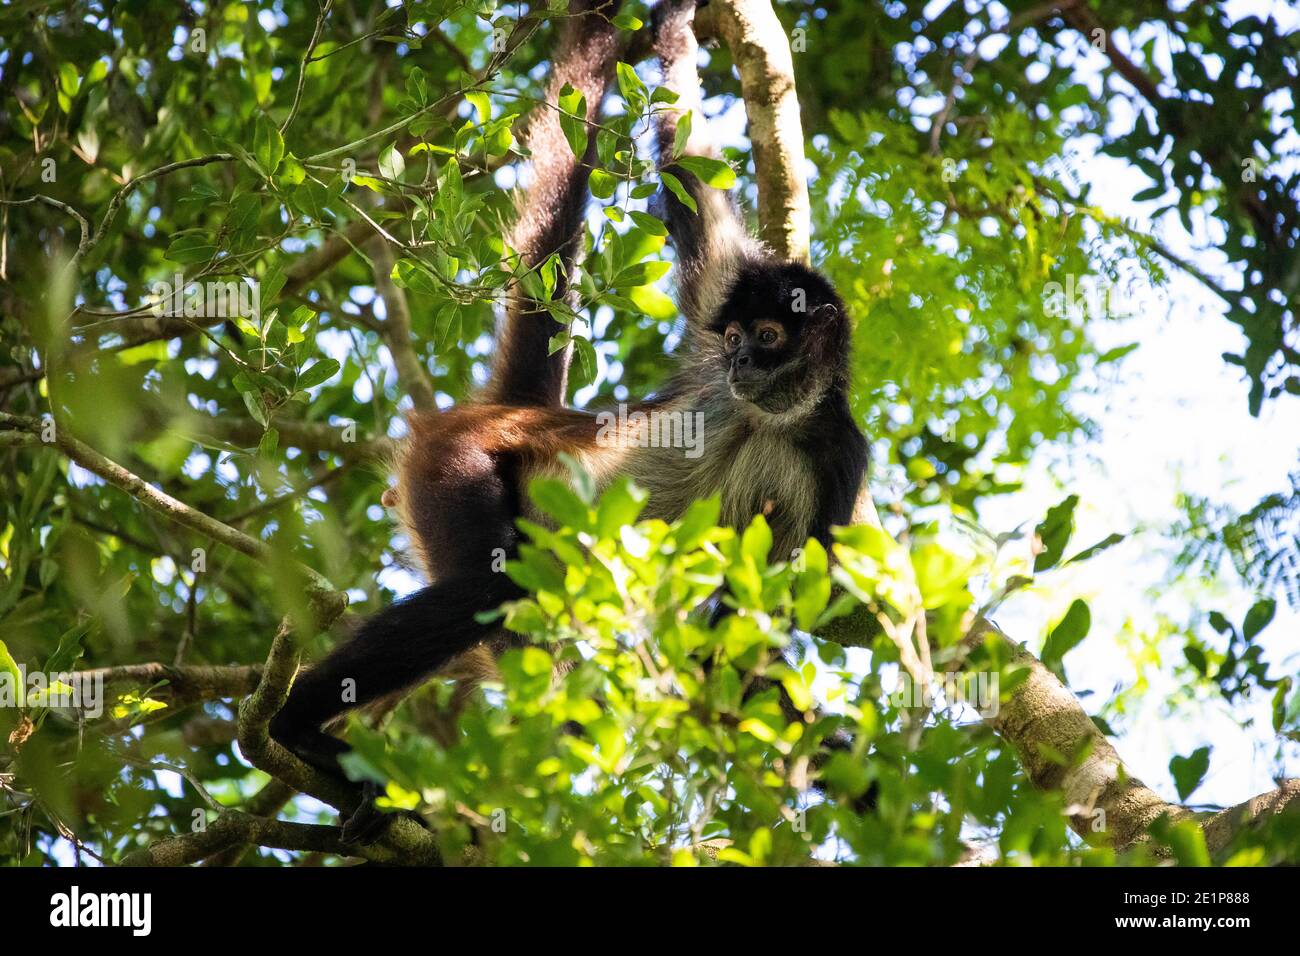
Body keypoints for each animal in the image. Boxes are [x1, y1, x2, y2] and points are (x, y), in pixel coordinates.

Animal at [269, 0, 869, 839]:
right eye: (737, 338)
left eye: (770, 336)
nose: (744, 361)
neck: (775, 418)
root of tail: (515, 413)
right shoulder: (713, 337)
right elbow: (692, 180)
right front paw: (677, 24)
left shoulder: (837, 462)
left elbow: (744, 632)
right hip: (459, 466)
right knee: (485, 591)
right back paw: (295, 728)